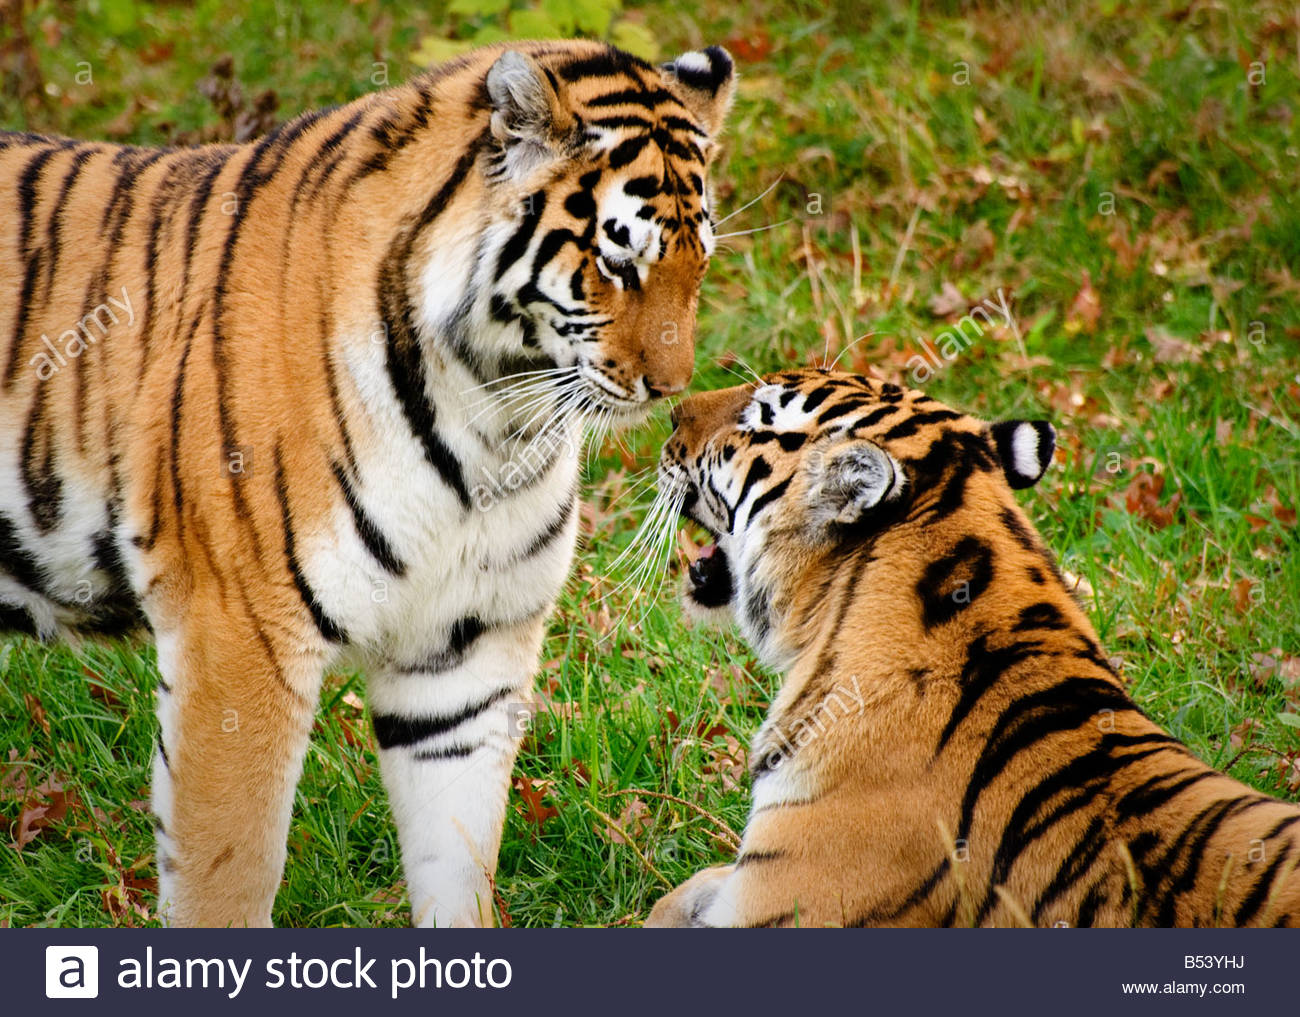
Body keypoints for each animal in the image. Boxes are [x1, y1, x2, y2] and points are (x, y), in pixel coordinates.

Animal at [0, 39, 734, 928]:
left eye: (701, 263)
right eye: (618, 260)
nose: (672, 388)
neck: (495, 418)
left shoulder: (465, 656)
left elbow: (458, 861)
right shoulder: (238, 639)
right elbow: (227, 874)